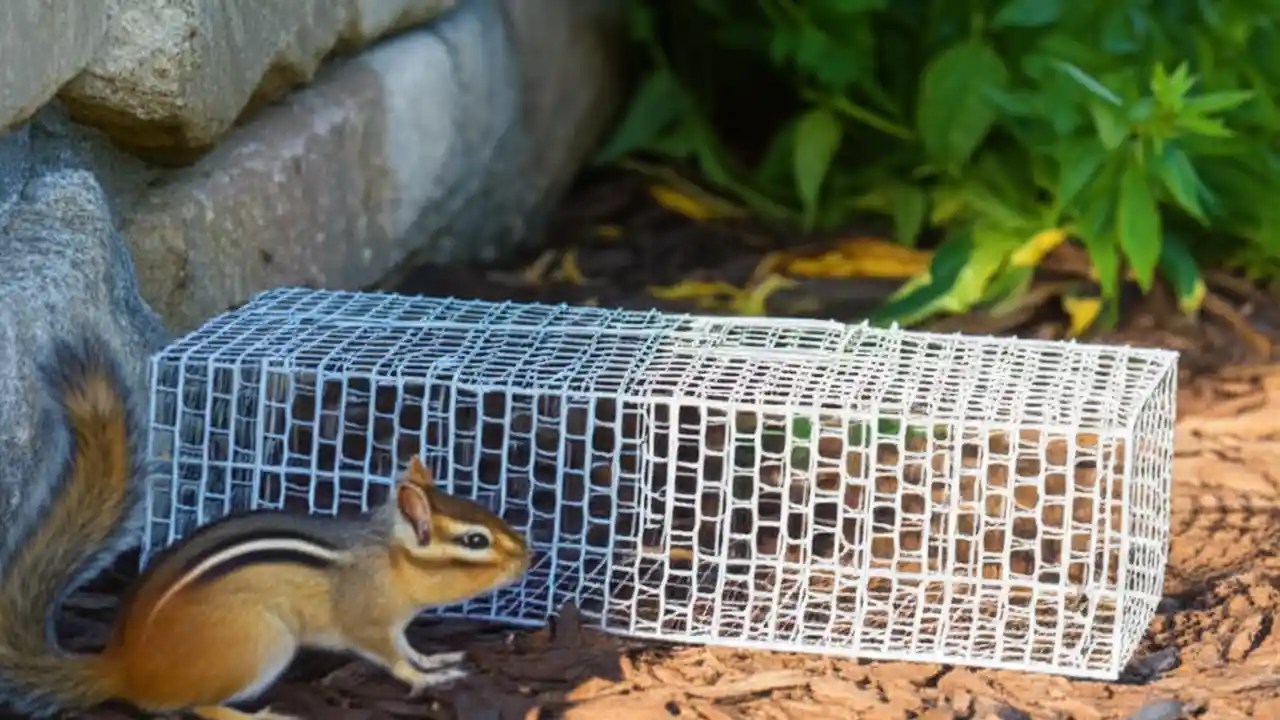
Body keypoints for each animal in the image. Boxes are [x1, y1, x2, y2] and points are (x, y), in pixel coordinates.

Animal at [0, 333, 532, 720]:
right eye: (475, 540)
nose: (529, 557)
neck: (387, 557)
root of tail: (123, 667)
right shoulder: (367, 622)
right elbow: (392, 657)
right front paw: (426, 679)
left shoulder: (397, 624)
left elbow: (409, 645)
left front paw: (435, 659)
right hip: (262, 645)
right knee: (200, 709)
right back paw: (262, 717)